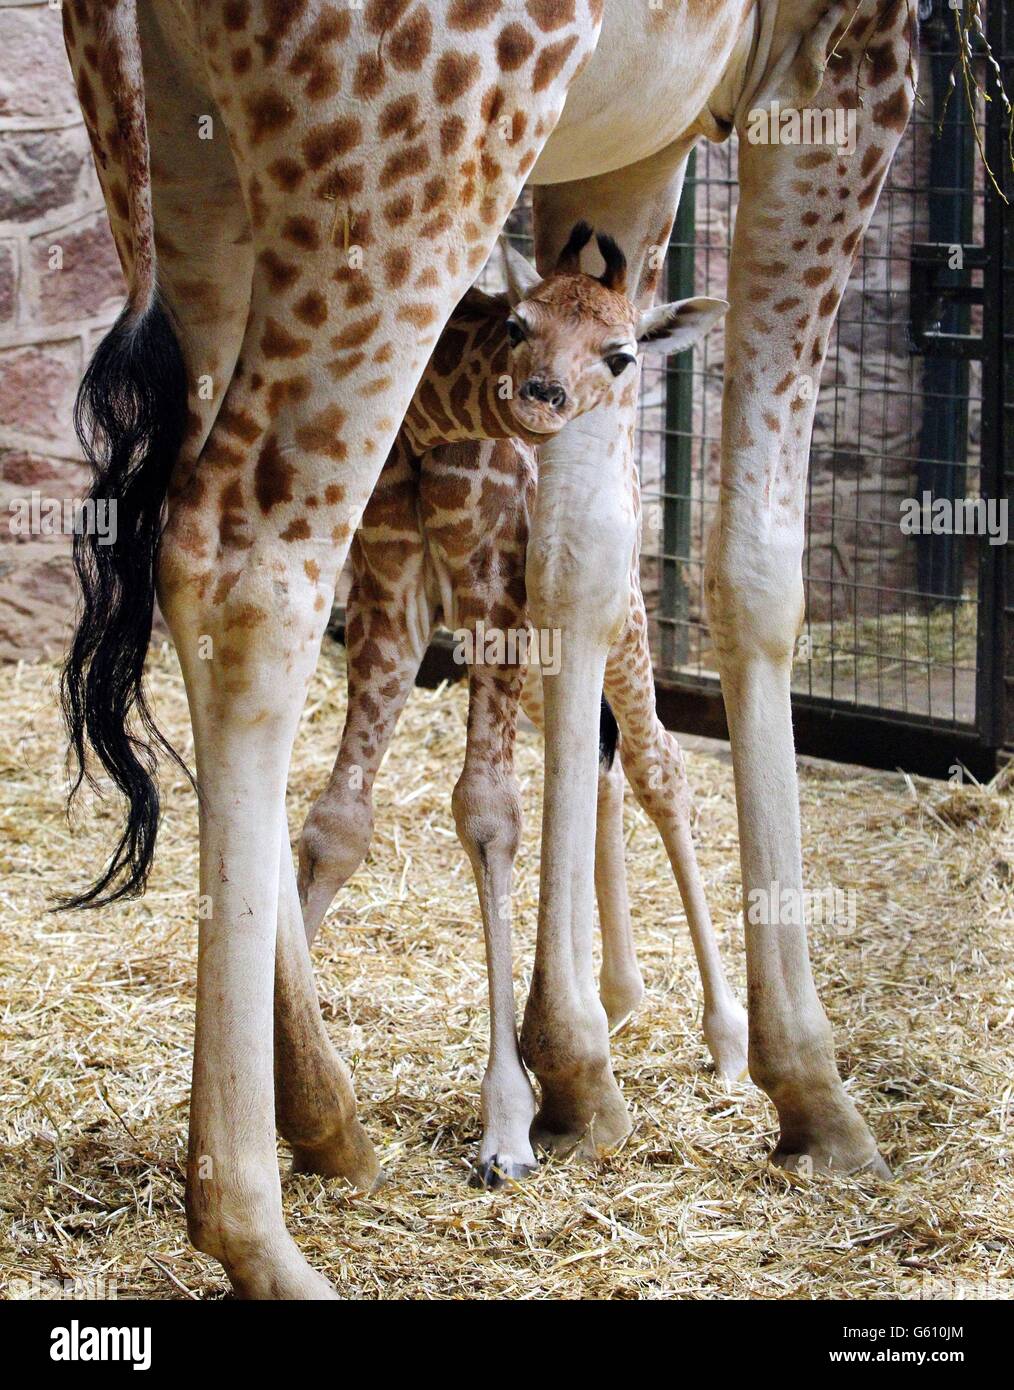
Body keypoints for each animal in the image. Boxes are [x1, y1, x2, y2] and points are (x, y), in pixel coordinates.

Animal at [297, 227, 746, 1185]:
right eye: (517, 324)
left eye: (620, 354)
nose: (542, 399)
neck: (430, 430)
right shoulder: (390, 595)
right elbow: (339, 820)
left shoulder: (494, 591)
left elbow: (488, 813)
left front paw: (507, 1124)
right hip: (552, 660)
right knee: (599, 765)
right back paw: (613, 1001)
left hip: (624, 619)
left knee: (659, 767)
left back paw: (728, 1036)